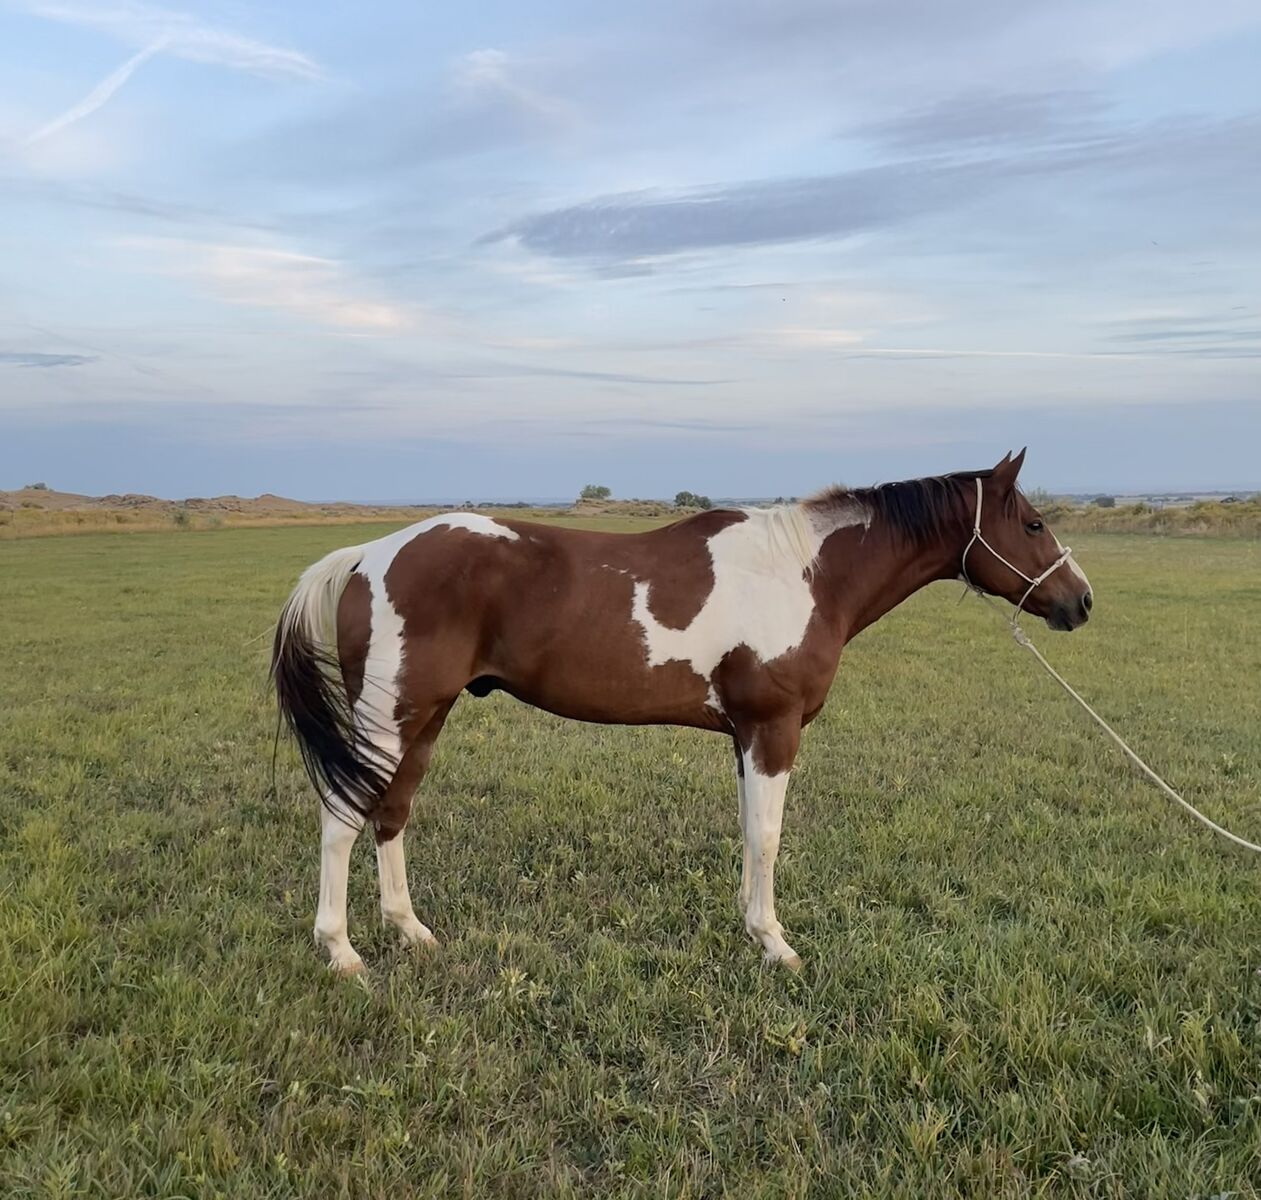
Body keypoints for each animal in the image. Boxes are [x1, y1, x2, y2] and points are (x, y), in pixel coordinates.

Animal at [271, 449, 1092, 974]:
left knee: (392, 812)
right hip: (390, 718)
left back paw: (411, 932)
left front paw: (751, 928)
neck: (804, 574)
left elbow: (749, 832)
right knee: (343, 816)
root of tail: (368, 555)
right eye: (1032, 524)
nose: (1080, 602)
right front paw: (775, 944)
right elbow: (768, 836)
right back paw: (341, 952)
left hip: (425, 718)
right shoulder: (772, 729)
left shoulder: (745, 736)